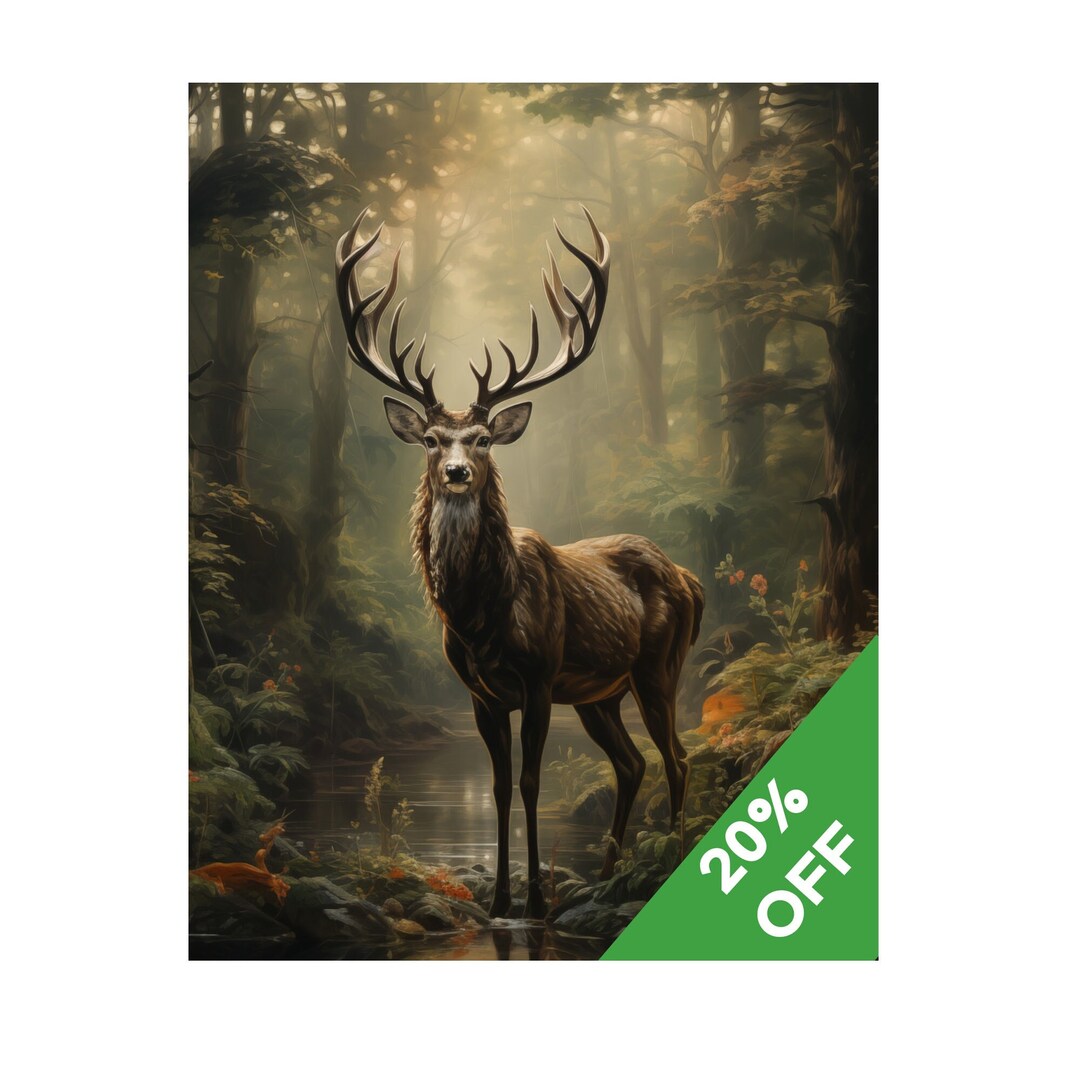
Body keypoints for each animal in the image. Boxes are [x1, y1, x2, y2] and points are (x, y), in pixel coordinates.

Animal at [335, 206, 704, 919]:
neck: (483, 618)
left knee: (676, 757)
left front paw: (533, 899)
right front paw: (503, 899)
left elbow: (533, 782)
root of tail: (690, 580)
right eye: (431, 439)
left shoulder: (537, 677)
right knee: (632, 764)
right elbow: (501, 787)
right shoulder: (482, 695)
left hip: (657, 666)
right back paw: (607, 874)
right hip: (599, 693)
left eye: (481, 440)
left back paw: (662, 865)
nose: (455, 473)